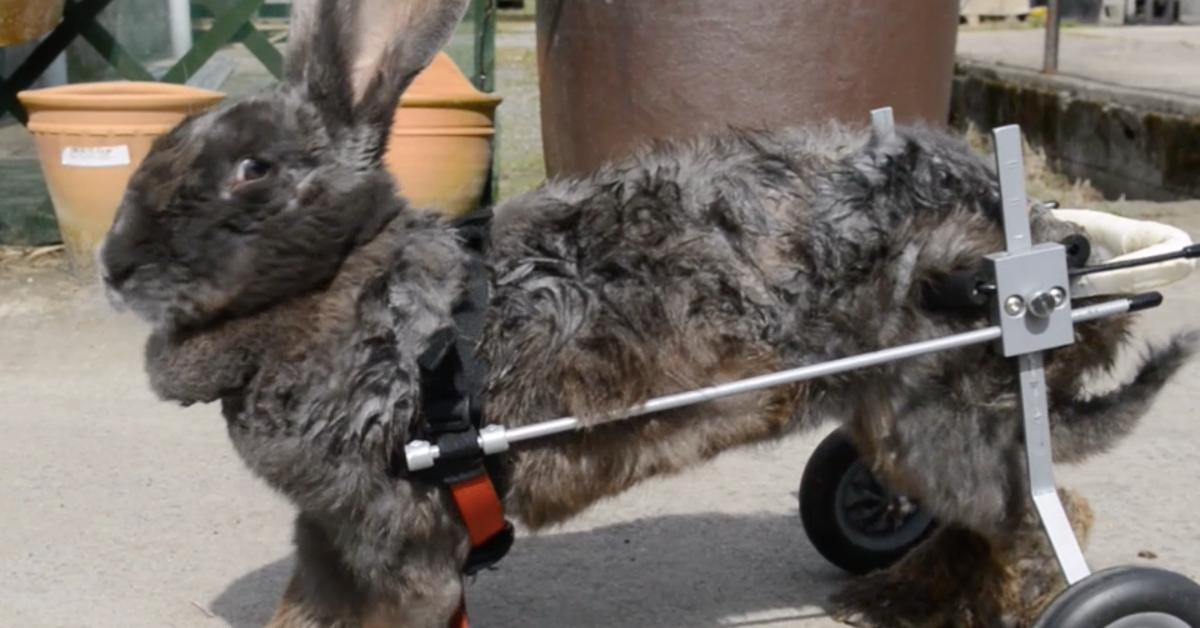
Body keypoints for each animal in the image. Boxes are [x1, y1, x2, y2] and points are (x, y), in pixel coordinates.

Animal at [94, 0, 1198, 626]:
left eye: (251, 171)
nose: (112, 265)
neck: (352, 289)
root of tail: (1040, 239)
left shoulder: (398, 546)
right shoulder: (334, 543)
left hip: (944, 405)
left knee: (1038, 518)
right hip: (892, 418)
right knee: (967, 517)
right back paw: (881, 601)